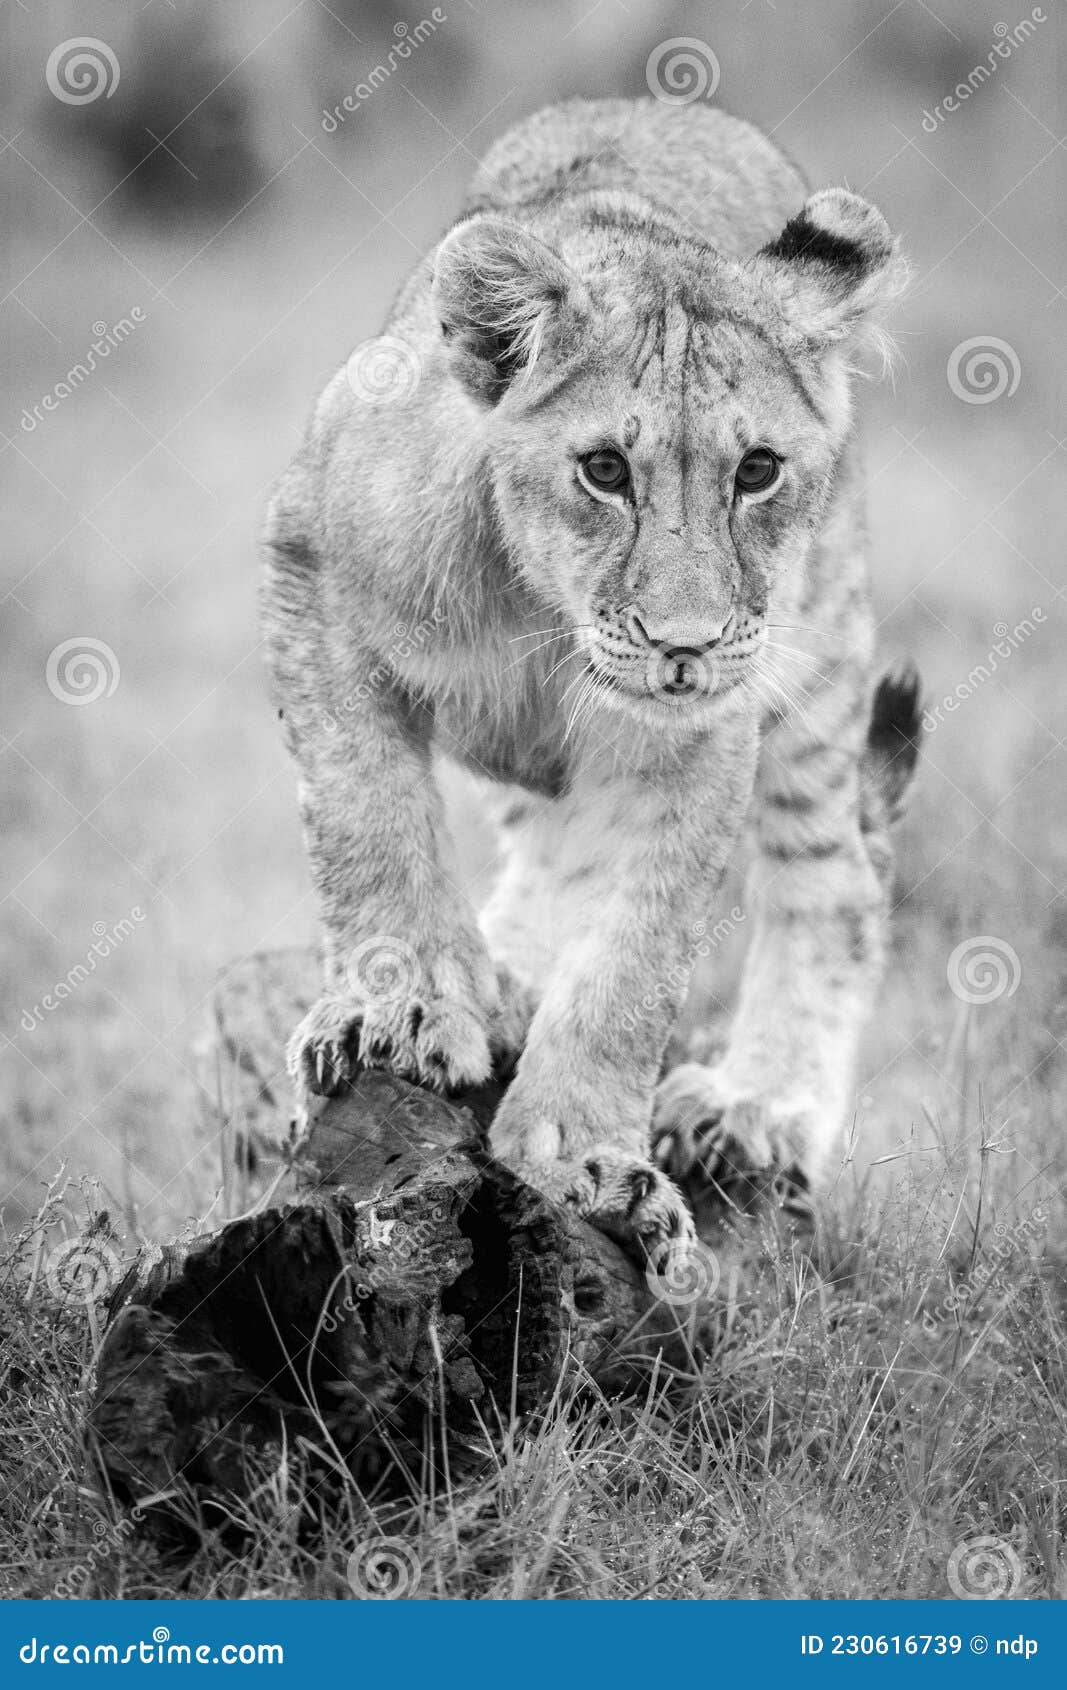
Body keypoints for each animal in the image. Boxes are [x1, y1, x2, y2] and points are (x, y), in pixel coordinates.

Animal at [261, 96, 914, 1265]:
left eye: (757, 470)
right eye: (604, 470)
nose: (684, 645)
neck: (542, 612)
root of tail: (665, 102)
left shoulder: (701, 737)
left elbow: (632, 960)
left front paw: (584, 1157)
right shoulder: (314, 586)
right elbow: (370, 825)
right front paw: (403, 1013)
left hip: (822, 657)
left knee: (838, 879)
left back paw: (756, 1106)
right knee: (543, 852)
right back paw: (505, 986)